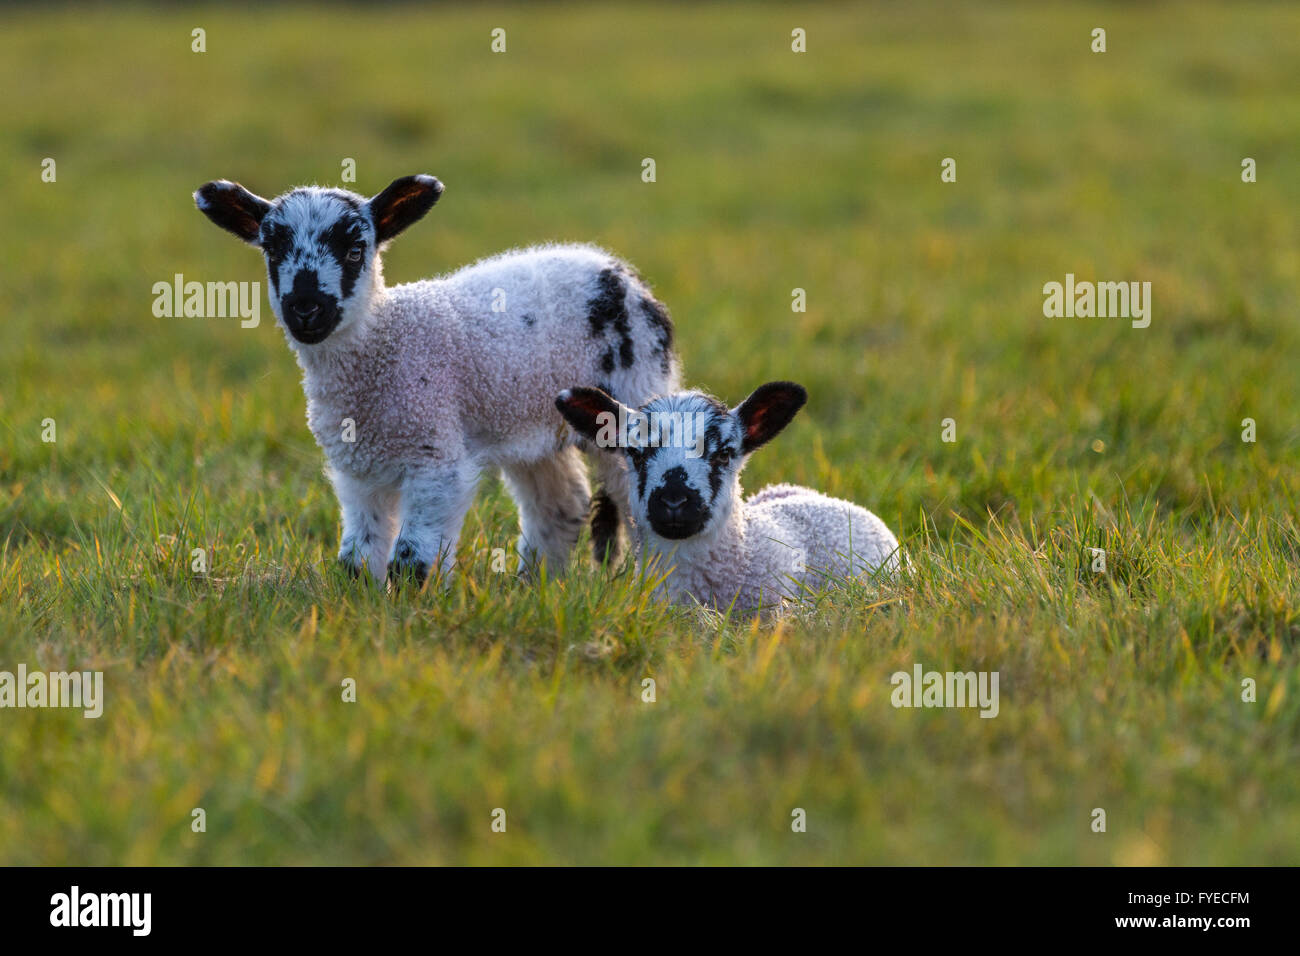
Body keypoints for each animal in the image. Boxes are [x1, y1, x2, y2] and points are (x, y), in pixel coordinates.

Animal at [194, 174, 679, 584]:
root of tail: (617, 270)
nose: (306, 308)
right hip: (529, 416)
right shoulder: (357, 471)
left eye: (355, 250)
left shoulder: (435, 455)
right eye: (272, 250)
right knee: (562, 504)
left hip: (635, 391)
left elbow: (412, 558)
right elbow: (358, 556)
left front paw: (409, 611)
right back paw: (534, 585)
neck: (385, 343)